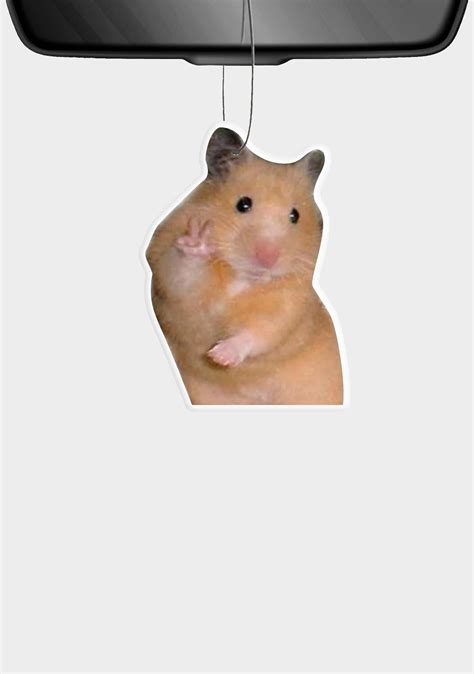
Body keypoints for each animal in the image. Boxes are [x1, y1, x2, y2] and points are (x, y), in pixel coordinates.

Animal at [146, 128, 343, 405]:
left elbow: (262, 331)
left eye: (295, 216)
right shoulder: (169, 278)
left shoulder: (290, 304)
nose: (267, 258)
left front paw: (220, 356)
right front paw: (198, 240)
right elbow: (184, 274)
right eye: (243, 204)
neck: (243, 279)